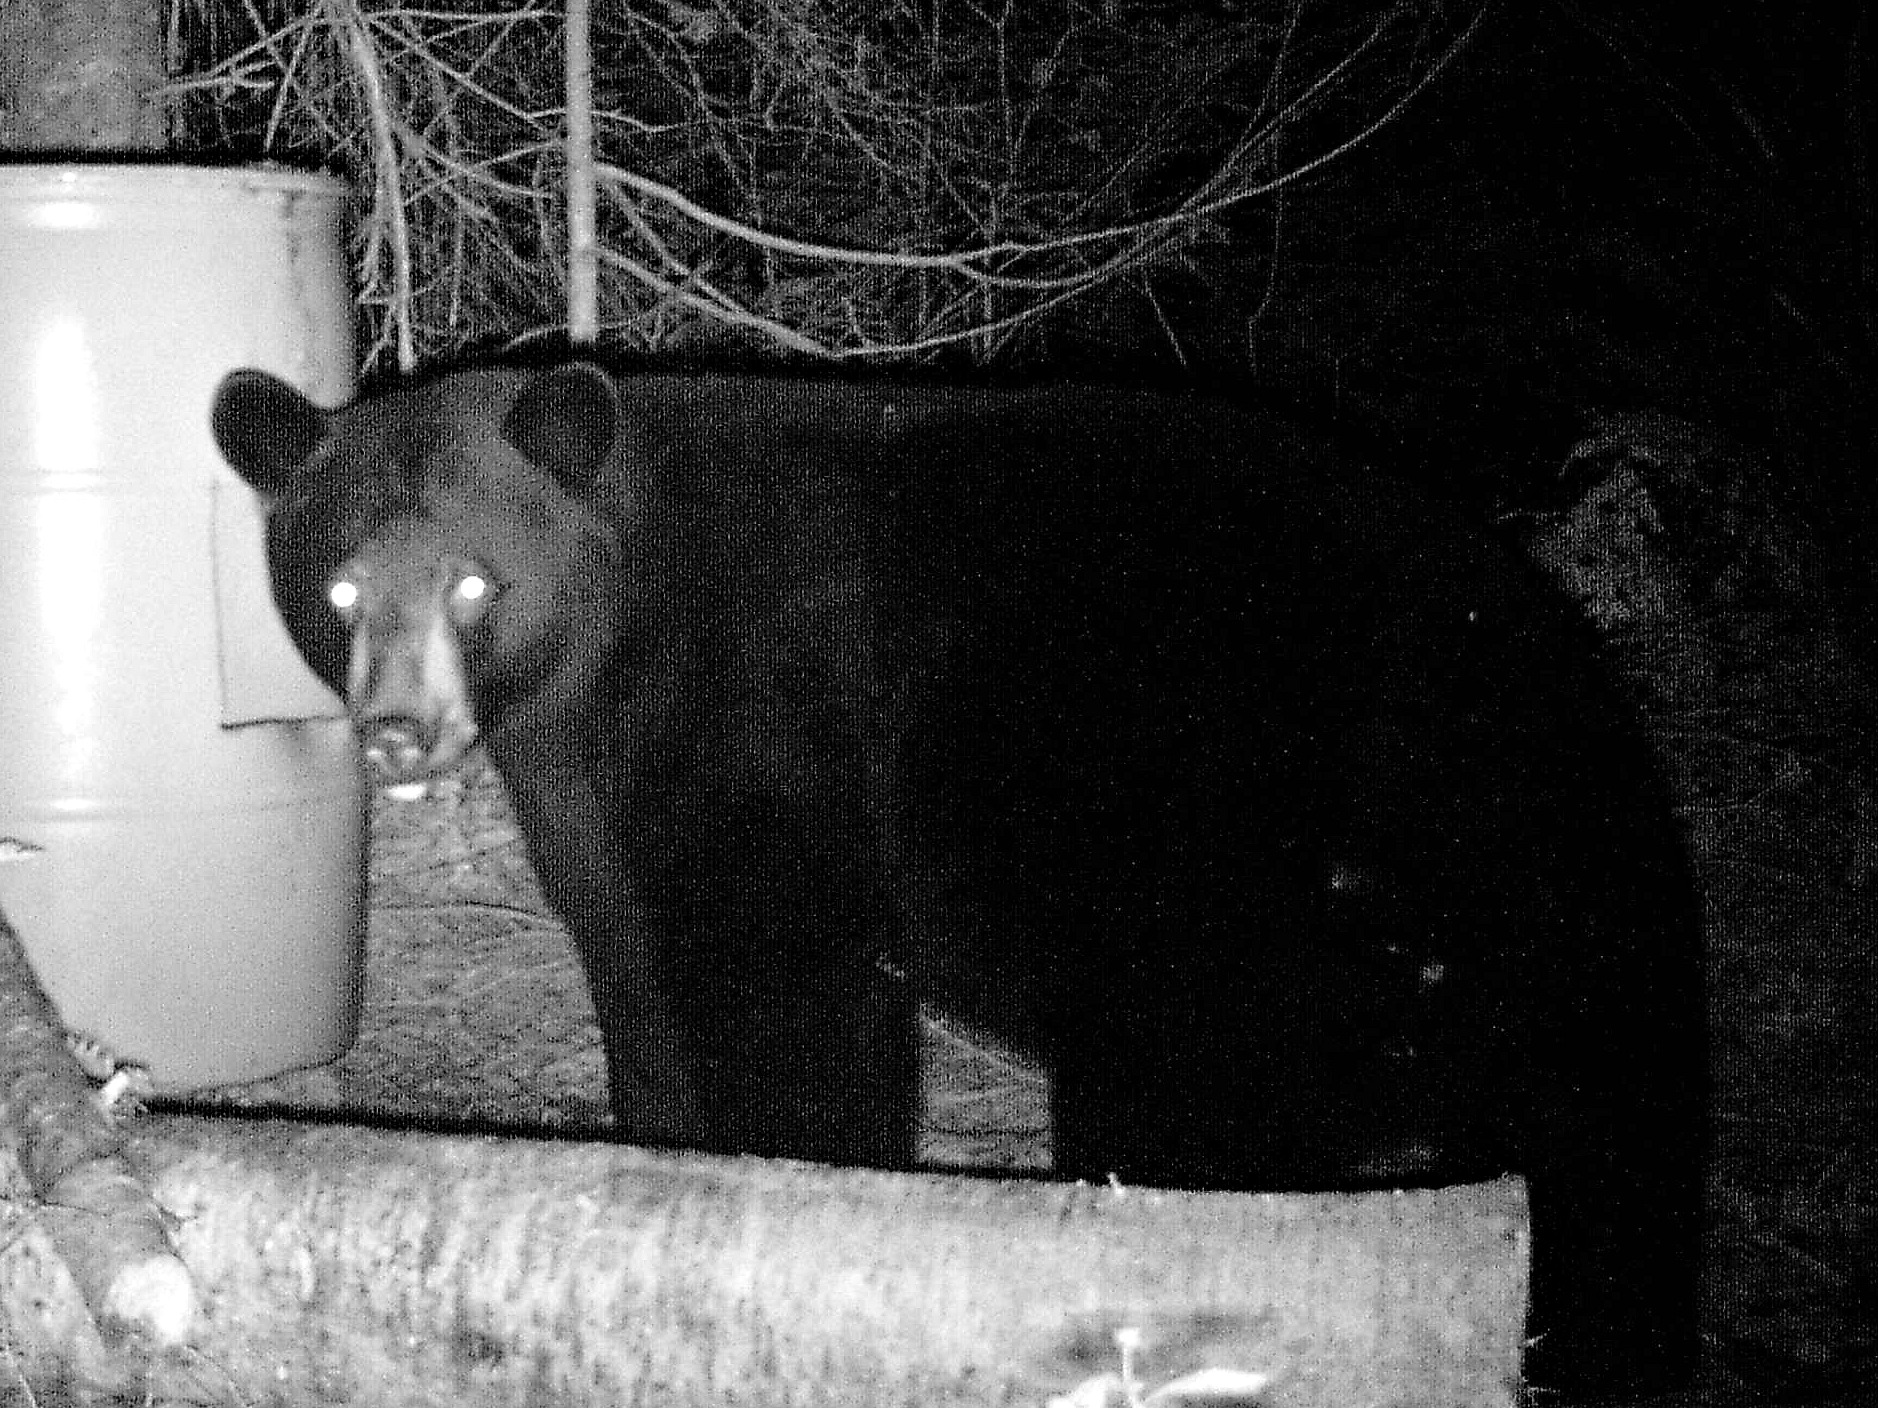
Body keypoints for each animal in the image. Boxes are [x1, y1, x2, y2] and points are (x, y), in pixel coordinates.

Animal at [210, 362, 1704, 1397]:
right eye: (338, 592)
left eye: (474, 584)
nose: (401, 730)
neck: (614, 638)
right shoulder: (592, 793)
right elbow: (638, 982)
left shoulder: (769, 733)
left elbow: (800, 1006)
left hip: (1257, 919)